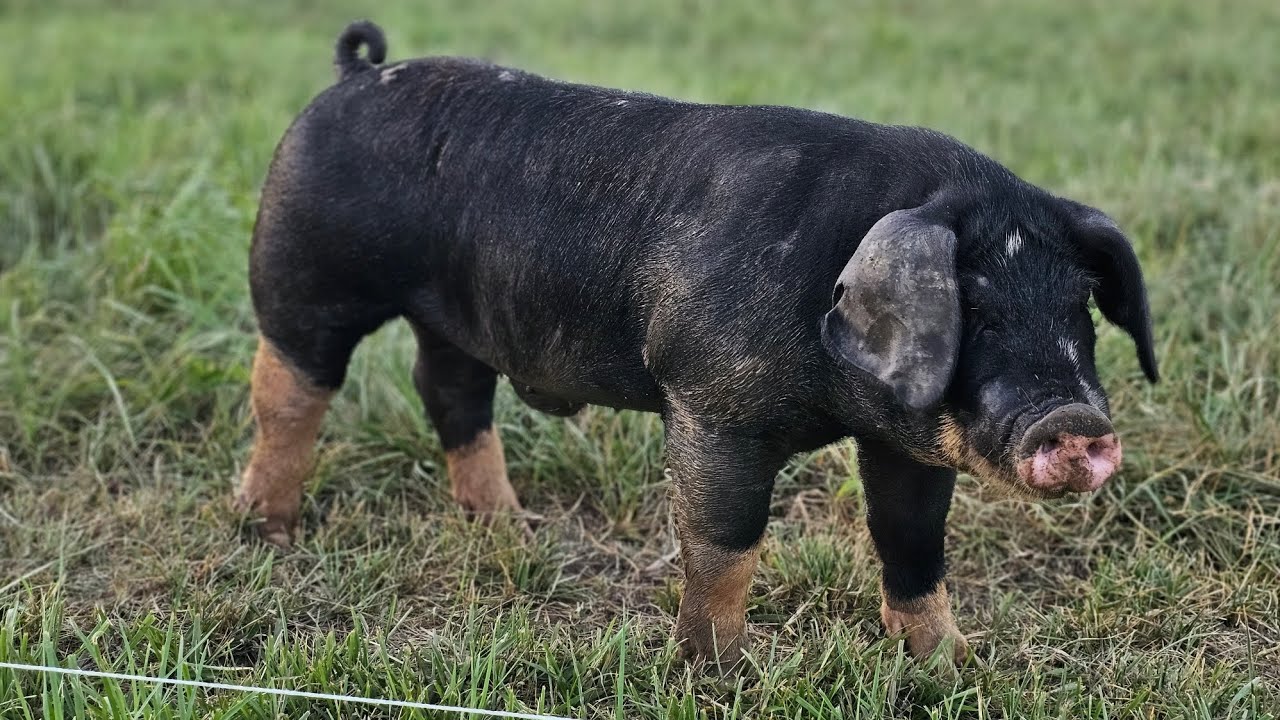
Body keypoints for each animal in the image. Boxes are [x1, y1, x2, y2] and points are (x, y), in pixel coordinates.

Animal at [234, 21, 1159, 667]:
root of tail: (355, 74)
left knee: (451, 391)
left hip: (455, 318)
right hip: (301, 271)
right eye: (974, 309)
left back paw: (510, 528)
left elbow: (913, 544)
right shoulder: (714, 404)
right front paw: (718, 671)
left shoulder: (907, 443)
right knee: (289, 389)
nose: (1073, 419)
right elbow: (727, 544)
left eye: (1080, 310)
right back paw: (268, 532)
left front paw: (951, 665)